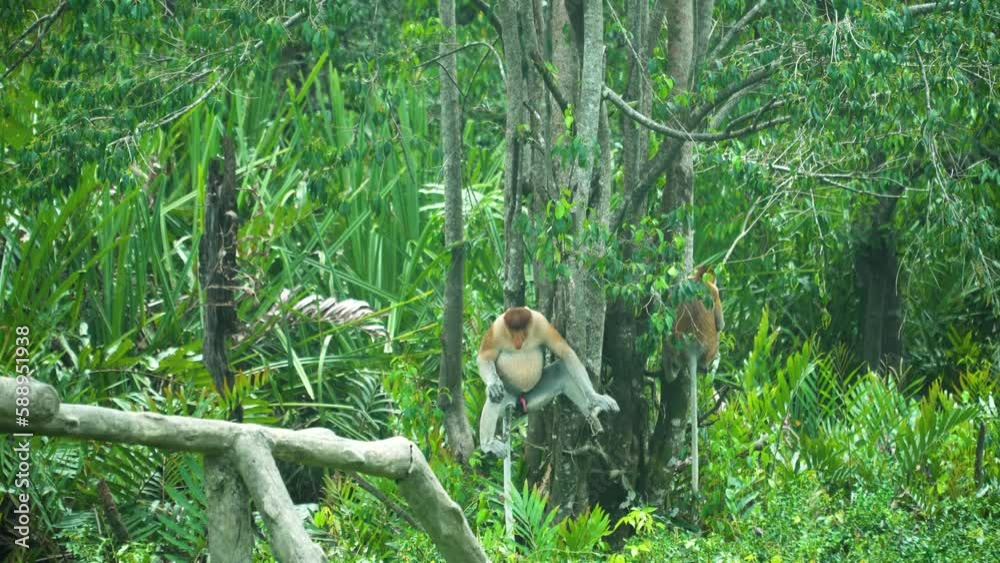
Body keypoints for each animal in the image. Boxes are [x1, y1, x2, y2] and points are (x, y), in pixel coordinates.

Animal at [477, 307, 620, 456]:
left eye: (522, 331)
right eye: (513, 332)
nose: (518, 341)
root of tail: (519, 401)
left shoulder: (541, 324)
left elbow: (566, 352)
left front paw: (595, 397)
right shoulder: (496, 330)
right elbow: (484, 357)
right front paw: (493, 385)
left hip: (534, 396)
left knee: (561, 370)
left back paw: (594, 414)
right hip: (508, 398)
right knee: (496, 397)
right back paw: (488, 444)